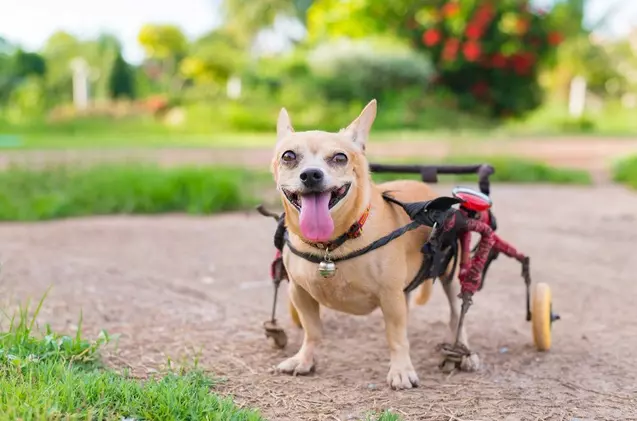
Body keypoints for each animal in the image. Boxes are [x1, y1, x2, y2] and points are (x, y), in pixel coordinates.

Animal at [268, 98, 476, 388]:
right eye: (288, 156)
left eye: (340, 157)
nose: (310, 174)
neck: (332, 244)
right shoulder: (300, 293)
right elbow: (313, 331)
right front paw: (304, 360)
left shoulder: (390, 296)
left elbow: (396, 337)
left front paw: (401, 370)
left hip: (451, 276)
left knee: (458, 315)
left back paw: (464, 352)